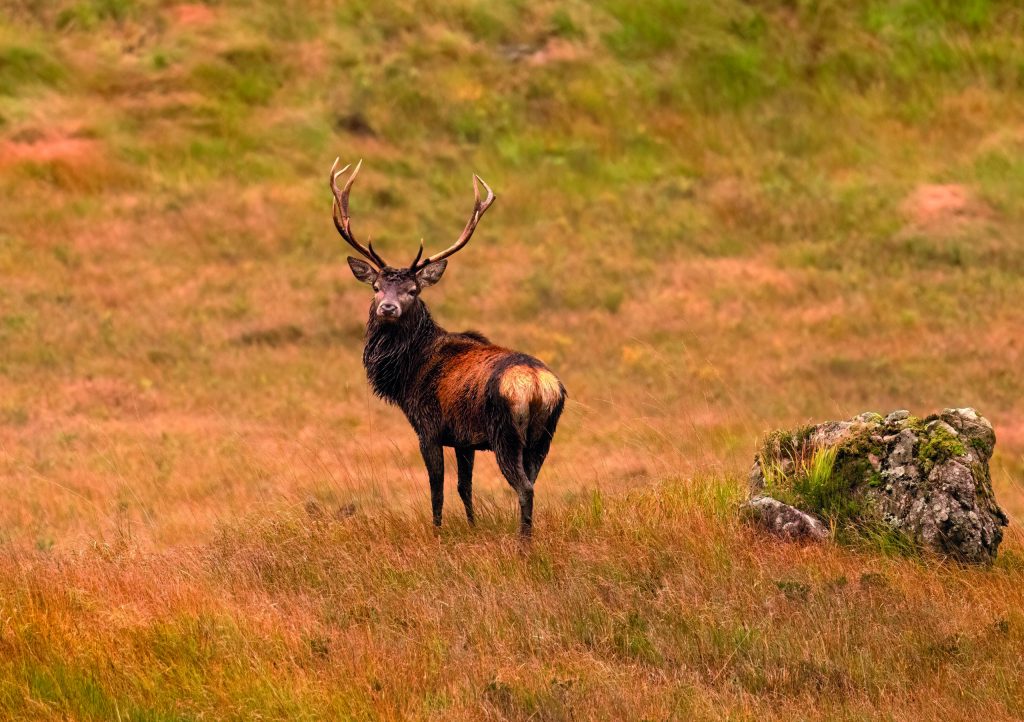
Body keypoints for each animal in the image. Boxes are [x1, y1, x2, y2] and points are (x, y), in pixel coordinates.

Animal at [330, 159, 566, 536]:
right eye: (377, 287)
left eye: (413, 290)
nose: (388, 308)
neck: (405, 375)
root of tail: (537, 385)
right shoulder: (464, 439)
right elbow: (464, 486)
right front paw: (471, 526)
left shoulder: (428, 426)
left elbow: (437, 487)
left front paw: (437, 532)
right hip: (544, 435)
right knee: (533, 481)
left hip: (506, 433)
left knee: (524, 487)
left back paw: (523, 542)